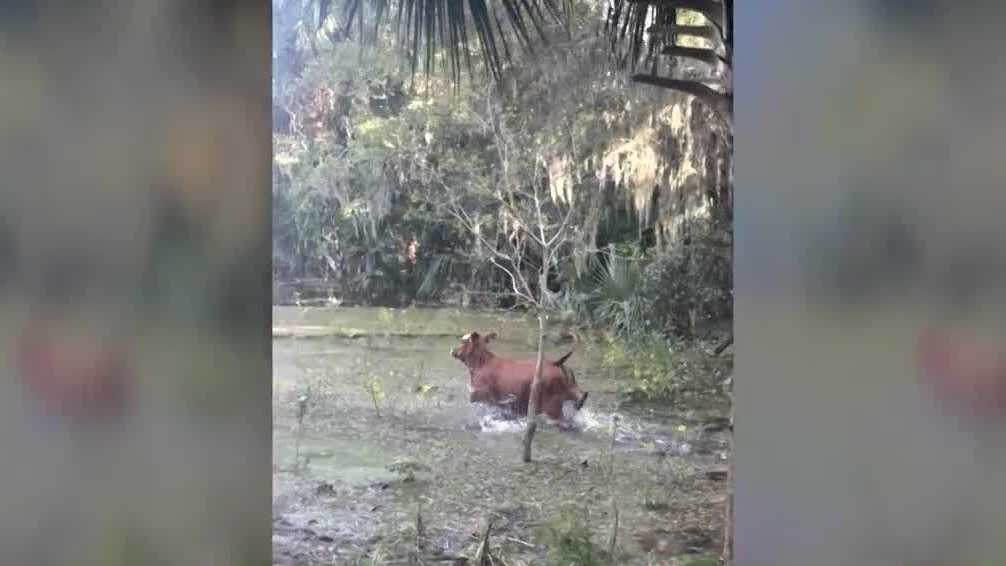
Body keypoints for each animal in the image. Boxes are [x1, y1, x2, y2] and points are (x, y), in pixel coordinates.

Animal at [450, 331, 588, 421]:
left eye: (463, 341)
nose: (452, 350)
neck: (481, 363)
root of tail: (556, 362)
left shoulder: (479, 396)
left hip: (553, 406)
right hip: (569, 387)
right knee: (580, 395)